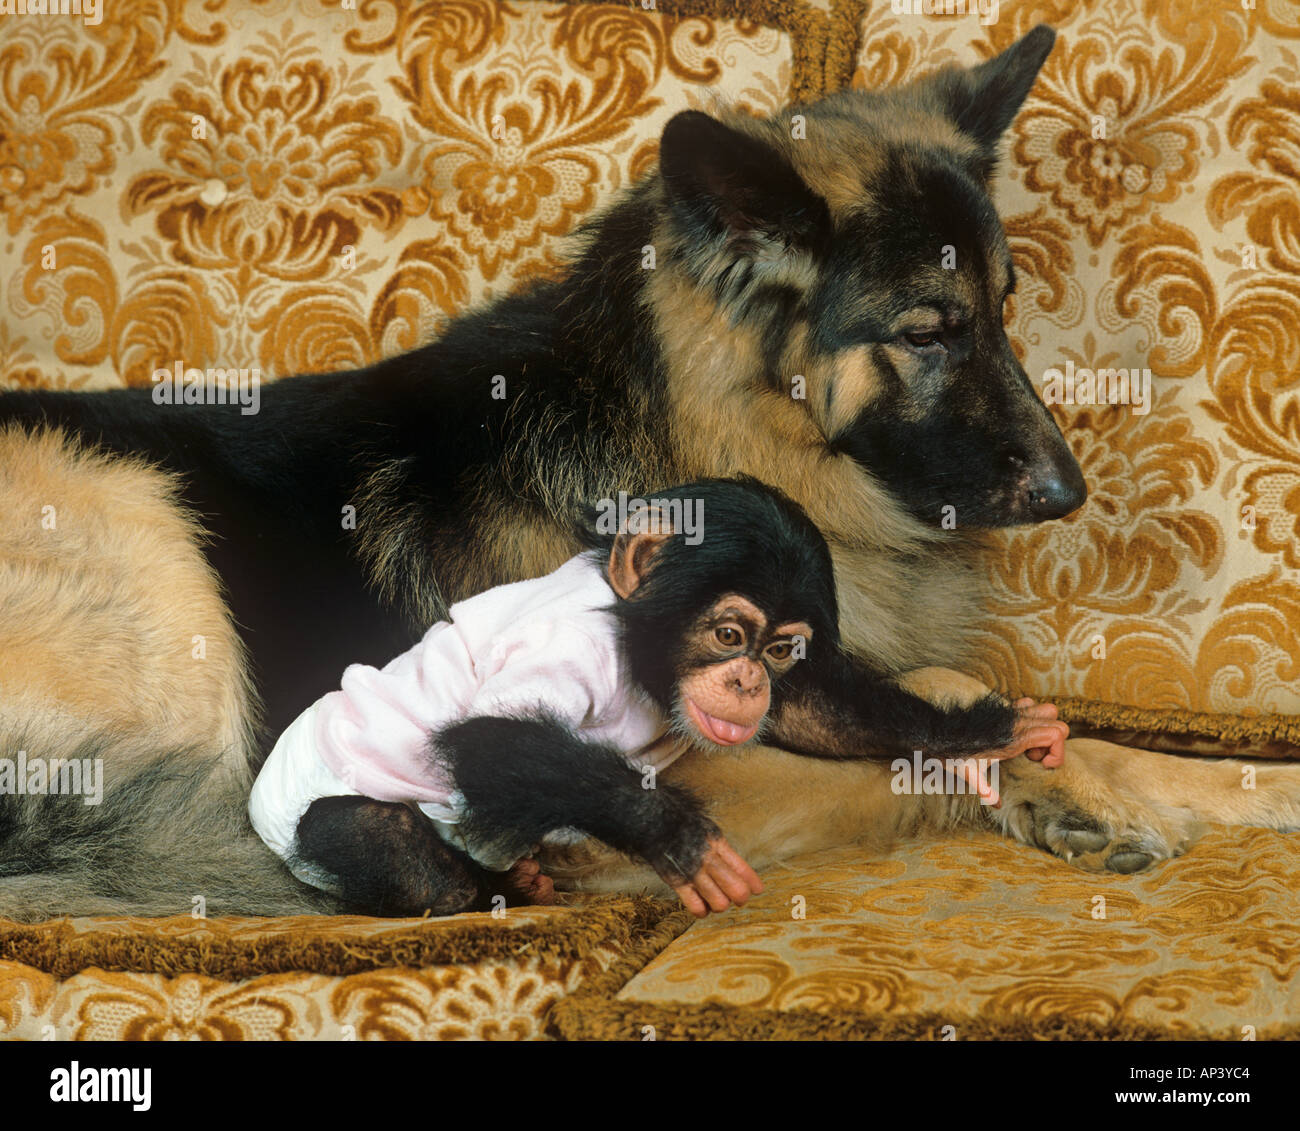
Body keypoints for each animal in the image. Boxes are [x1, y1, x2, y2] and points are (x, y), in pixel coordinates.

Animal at [248, 478, 1068, 918]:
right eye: (730, 632)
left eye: (777, 650)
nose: (746, 680)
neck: (638, 654)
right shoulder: (565, 649)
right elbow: (492, 737)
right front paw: (679, 838)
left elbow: (814, 709)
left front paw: (983, 734)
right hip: (309, 818)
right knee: (407, 862)